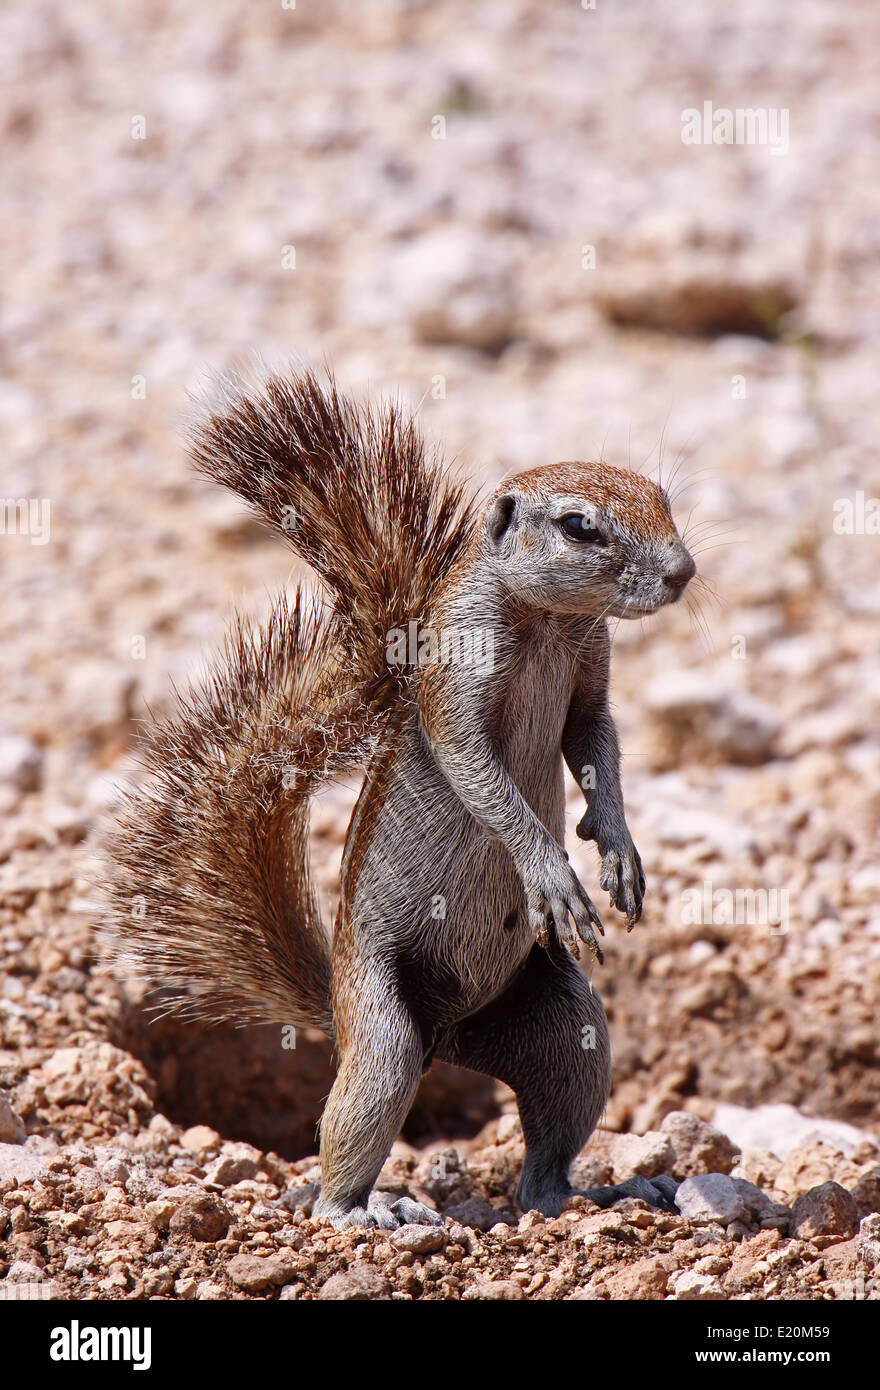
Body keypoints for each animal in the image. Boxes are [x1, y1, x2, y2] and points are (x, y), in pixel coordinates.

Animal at [103, 364, 696, 1231]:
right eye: (580, 526)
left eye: (662, 495)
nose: (683, 573)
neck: (547, 623)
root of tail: (438, 1038)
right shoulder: (454, 684)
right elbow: (479, 774)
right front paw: (551, 873)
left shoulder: (591, 677)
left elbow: (597, 751)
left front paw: (619, 851)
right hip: (384, 1034)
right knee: (355, 1124)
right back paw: (360, 1212)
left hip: (567, 1032)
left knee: (544, 1161)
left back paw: (593, 1192)